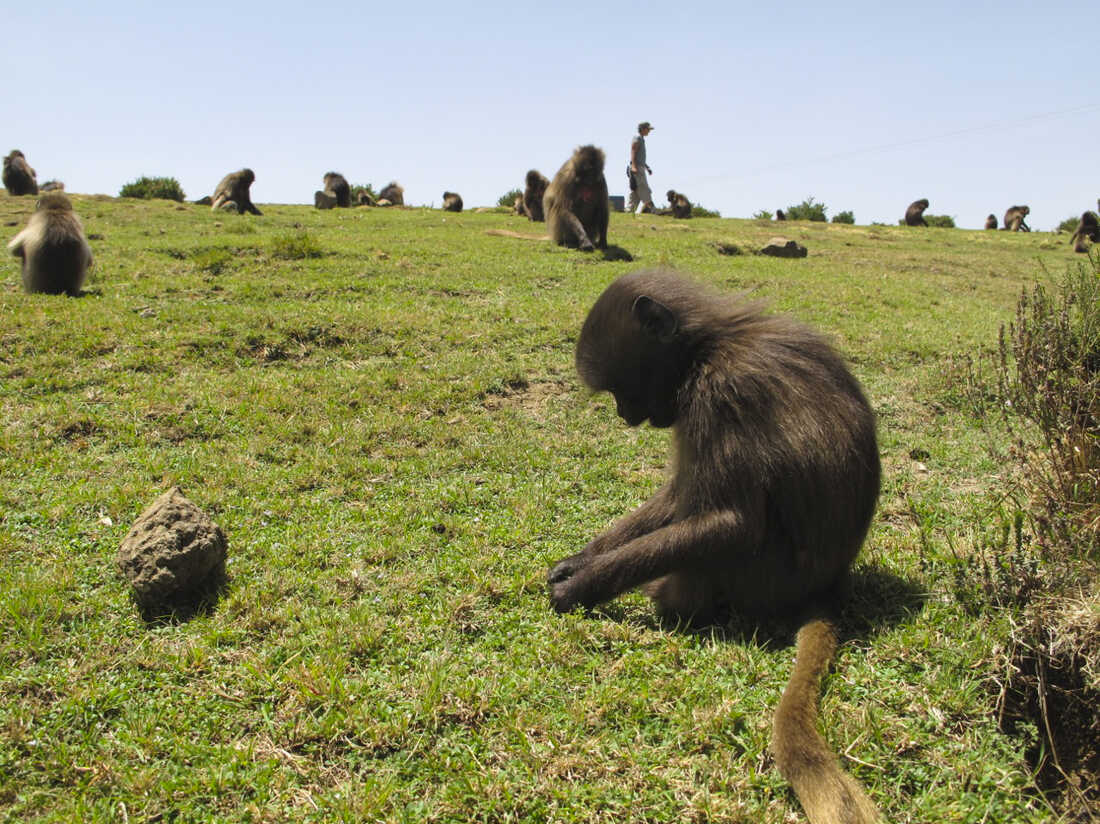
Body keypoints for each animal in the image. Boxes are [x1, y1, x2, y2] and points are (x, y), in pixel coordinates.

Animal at [548, 269, 882, 824]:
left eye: (622, 388)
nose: (623, 414)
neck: (709, 345)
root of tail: (829, 585)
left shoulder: (722, 393)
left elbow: (732, 523)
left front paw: (582, 587)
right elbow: (679, 496)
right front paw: (578, 562)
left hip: (761, 577)